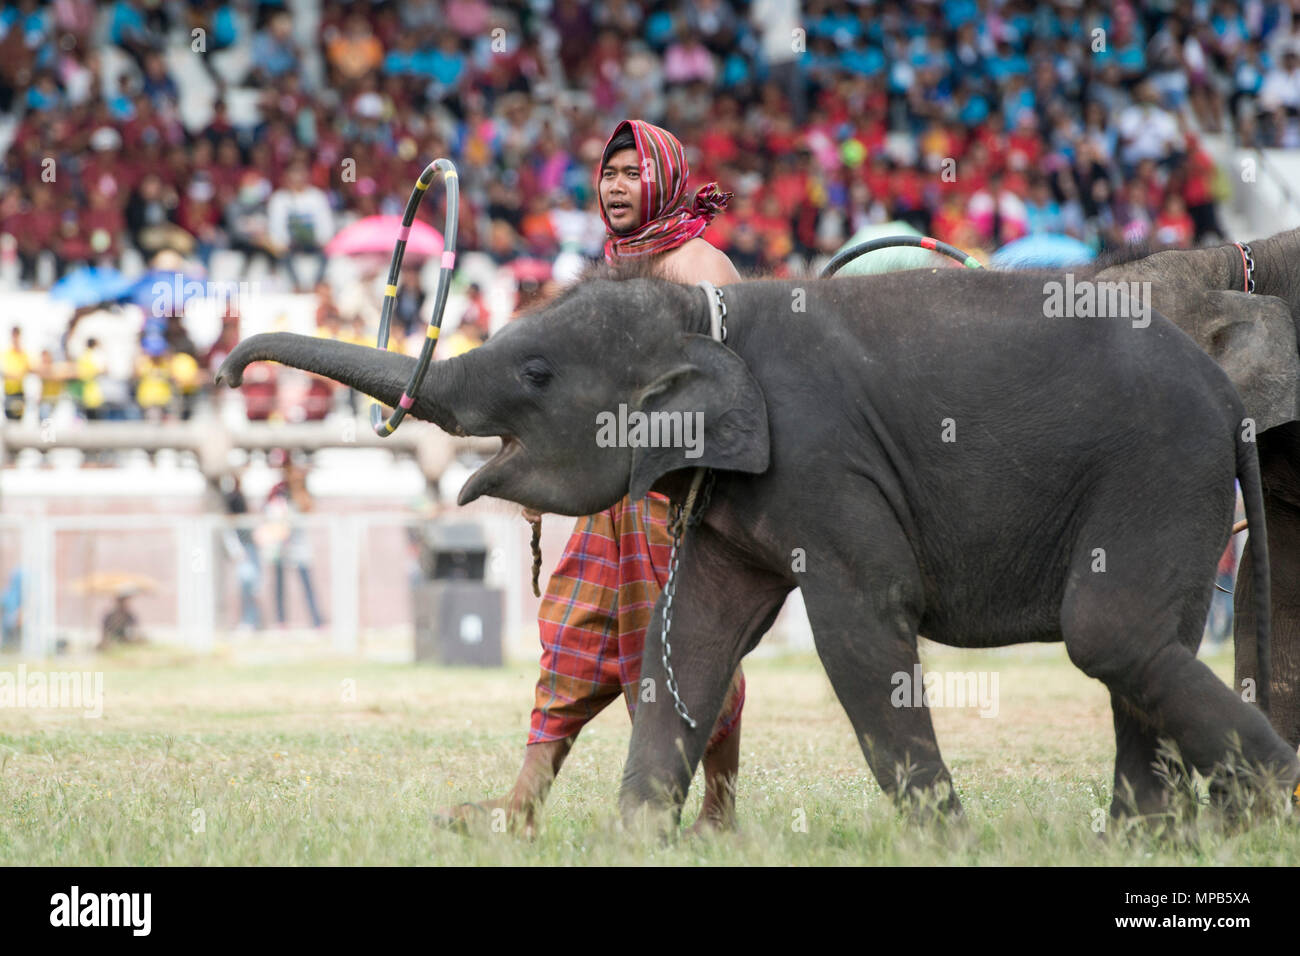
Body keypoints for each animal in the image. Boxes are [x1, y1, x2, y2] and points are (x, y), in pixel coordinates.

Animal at [216, 263, 1300, 825]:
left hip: (1156, 468)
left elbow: (861, 625)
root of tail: (1225, 400)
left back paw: (1269, 802)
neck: (709, 320)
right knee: (1138, 646)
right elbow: (691, 635)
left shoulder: (825, 462)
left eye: (534, 373)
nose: (229, 372)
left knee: (1109, 634)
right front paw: (637, 835)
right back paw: (1153, 837)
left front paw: (943, 837)